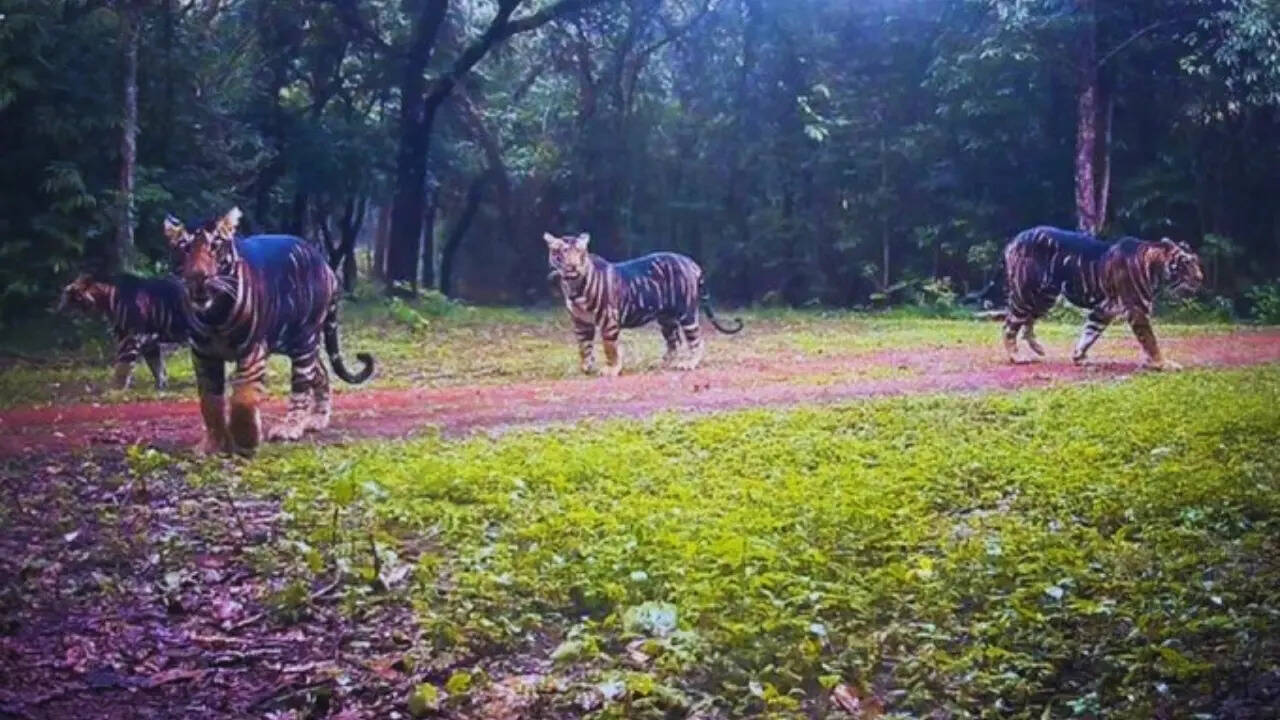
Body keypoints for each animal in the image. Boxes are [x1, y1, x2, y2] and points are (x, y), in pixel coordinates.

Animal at [57, 272, 190, 390]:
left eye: (71, 297)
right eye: (63, 296)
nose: (59, 310)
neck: (105, 300)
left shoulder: (129, 337)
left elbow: (123, 365)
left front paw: (116, 389)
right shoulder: (150, 341)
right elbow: (157, 366)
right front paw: (161, 387)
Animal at [163, 207, 374, 456]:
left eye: (215, 245)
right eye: (185, 248)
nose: (198, 277)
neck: (214, 315)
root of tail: (326, 266)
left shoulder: (252, 351)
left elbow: (243, 398)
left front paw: (246, 440)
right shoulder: (203, 355)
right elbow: (210, 402)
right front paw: (213, 444)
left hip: (304, 341)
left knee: (302, 386)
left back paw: (291, 428)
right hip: (291, 341)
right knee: (320, 371)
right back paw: (317, 419)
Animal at [544, 231, 743, 376]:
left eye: (579, 252)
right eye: (562, 252)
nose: (572, 266)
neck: (573, 285)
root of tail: (690, 262)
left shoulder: (608, 320)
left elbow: (610, 348)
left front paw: (611, 369)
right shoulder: (581, 322)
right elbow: (584, 347)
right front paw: (586, 367)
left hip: (686, 313)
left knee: (695, 340)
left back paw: (688, 364)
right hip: (666, 319)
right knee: (674, 341)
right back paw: (662, 363)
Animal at [1000, 225, 1203, 370]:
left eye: (1195, 261)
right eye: (1186, 263)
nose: (1200, 278)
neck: (1155, 270)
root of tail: (1014, 241)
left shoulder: (1103, 311)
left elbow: (1089, 334)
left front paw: (1079, 358)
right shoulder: (1137, 309)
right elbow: (1150, 340)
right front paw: (1162, 363)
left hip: (1044, 298)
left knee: (1027, 322)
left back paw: (1038, 348)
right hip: (1027, 294)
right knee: (1009, 325)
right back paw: (1016, 357)